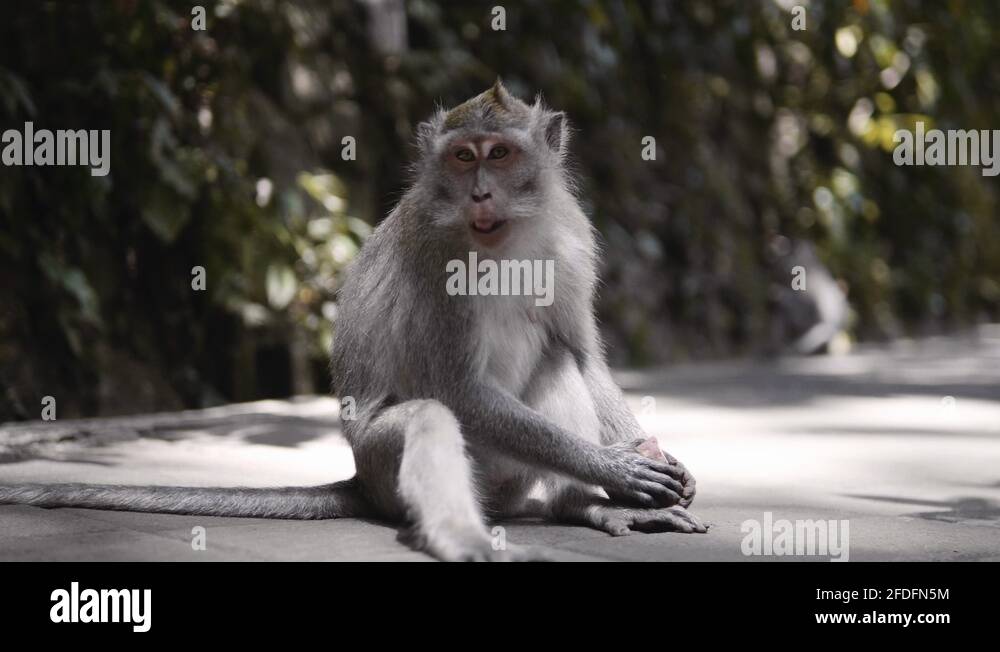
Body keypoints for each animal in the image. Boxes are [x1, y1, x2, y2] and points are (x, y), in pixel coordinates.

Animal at [0, 81, 706, 561]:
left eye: (500, 154)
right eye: (463, 158)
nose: (480, 193)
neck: (508, 238)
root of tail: (361, 484)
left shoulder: (572, 240)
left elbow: (579, 353)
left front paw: (641, 459)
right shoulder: (436, 254)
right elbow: (458, 393)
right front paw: (615, 470)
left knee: (554, 356)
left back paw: (583, 509)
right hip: (385, 465)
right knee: (430, 417)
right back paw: (467, 537)